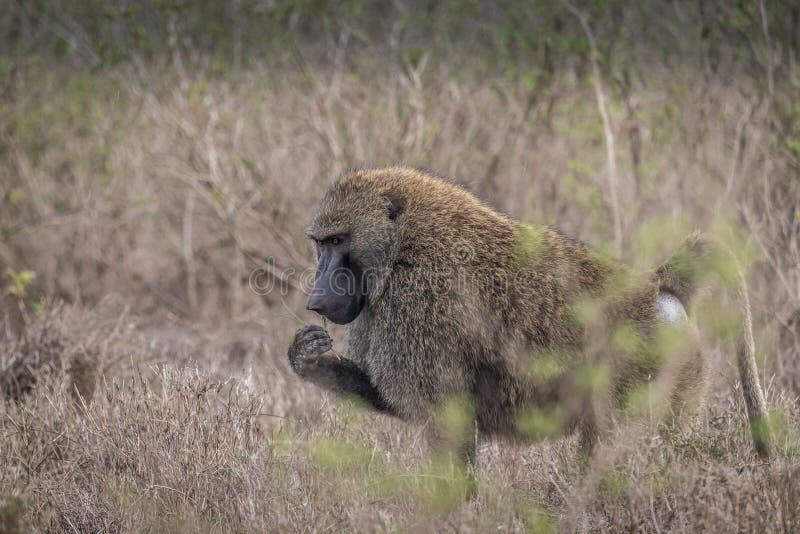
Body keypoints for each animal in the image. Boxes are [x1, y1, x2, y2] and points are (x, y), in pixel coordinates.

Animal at [287, 166, 772, 465]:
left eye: (337, 241)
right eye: (320, 244)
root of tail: (654, 286)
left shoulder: (417, 303)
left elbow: (446, 420)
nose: (316, 299)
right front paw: (308, 356)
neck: (401, 244)